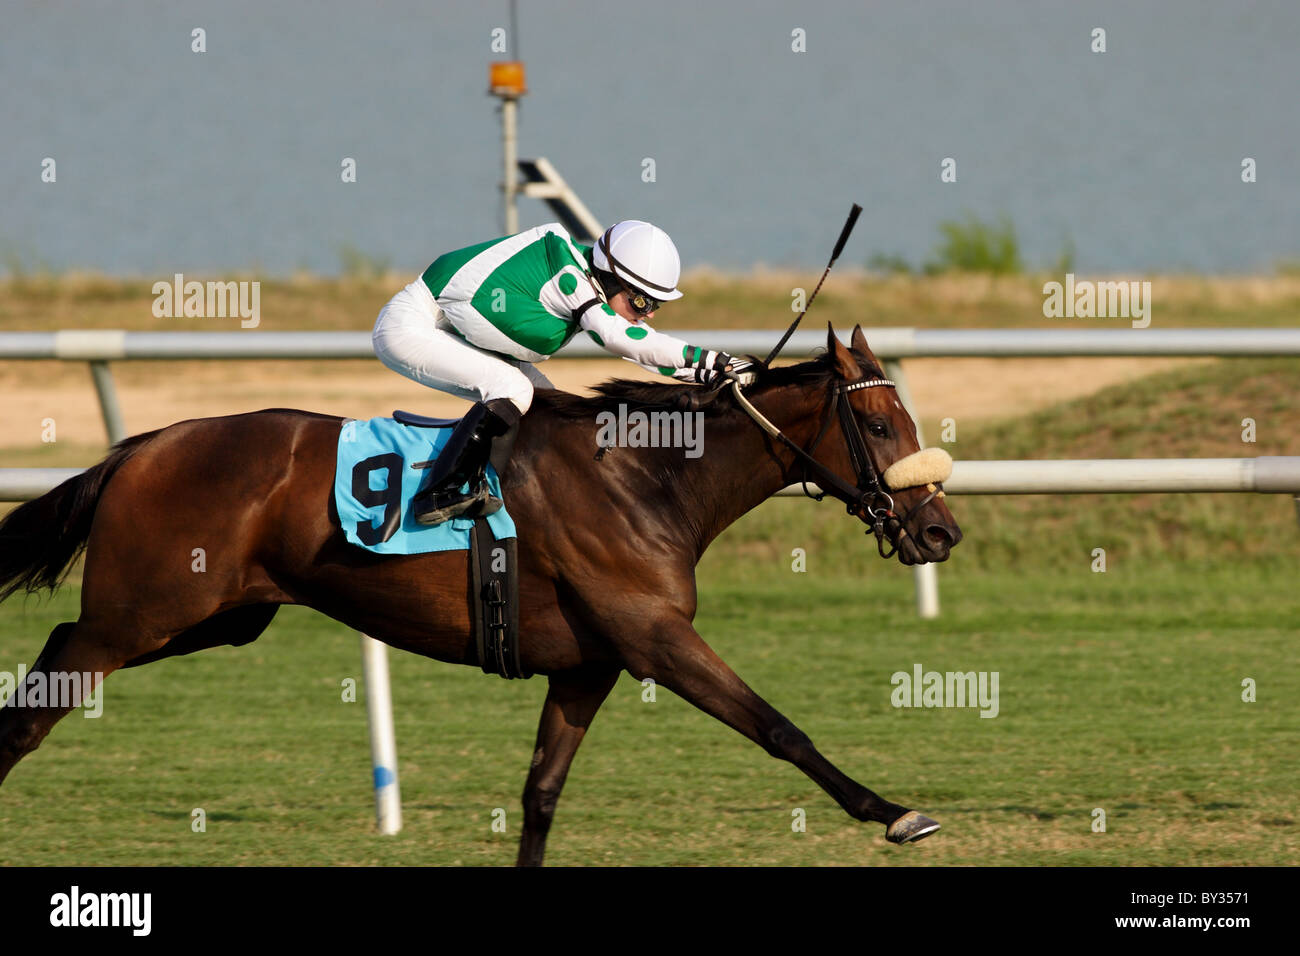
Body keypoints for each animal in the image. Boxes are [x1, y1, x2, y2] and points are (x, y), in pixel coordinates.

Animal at [0, 323, 961, 865]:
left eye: (907, 418)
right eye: (879, 424)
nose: (940, 533)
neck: (646, 477)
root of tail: (141, 446)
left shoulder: (589, 665)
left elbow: (541, 793)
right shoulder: (654, 638)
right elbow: (779, 728)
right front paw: (896, 814)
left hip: (215, 619)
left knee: (47, 658)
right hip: (139, 616)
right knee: (42, 700)